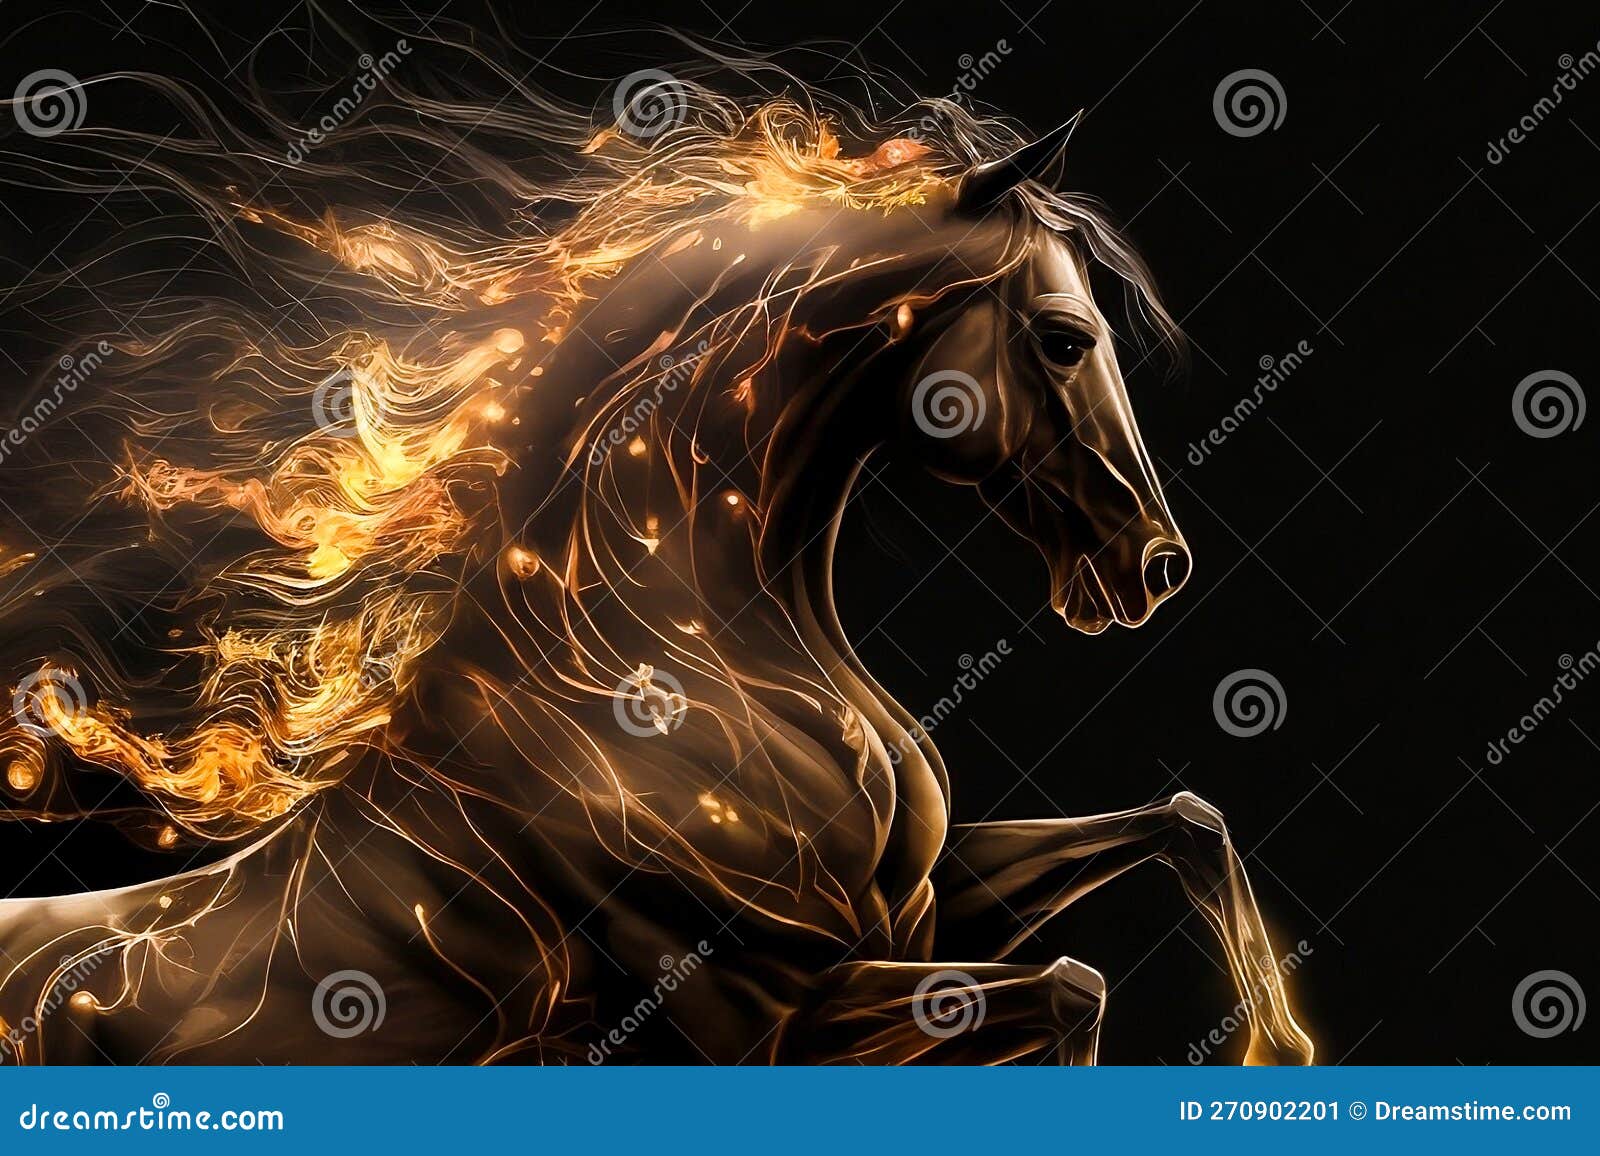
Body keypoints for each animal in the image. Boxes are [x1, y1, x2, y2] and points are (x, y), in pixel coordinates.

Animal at [0, 71, 1314, 1065]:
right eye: (1063, 337)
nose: (1156, 565)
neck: (652, 665)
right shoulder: (768, 1021)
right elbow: (1077, 987)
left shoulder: (922, 909)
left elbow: (1184, 821)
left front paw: (1281, 1044)